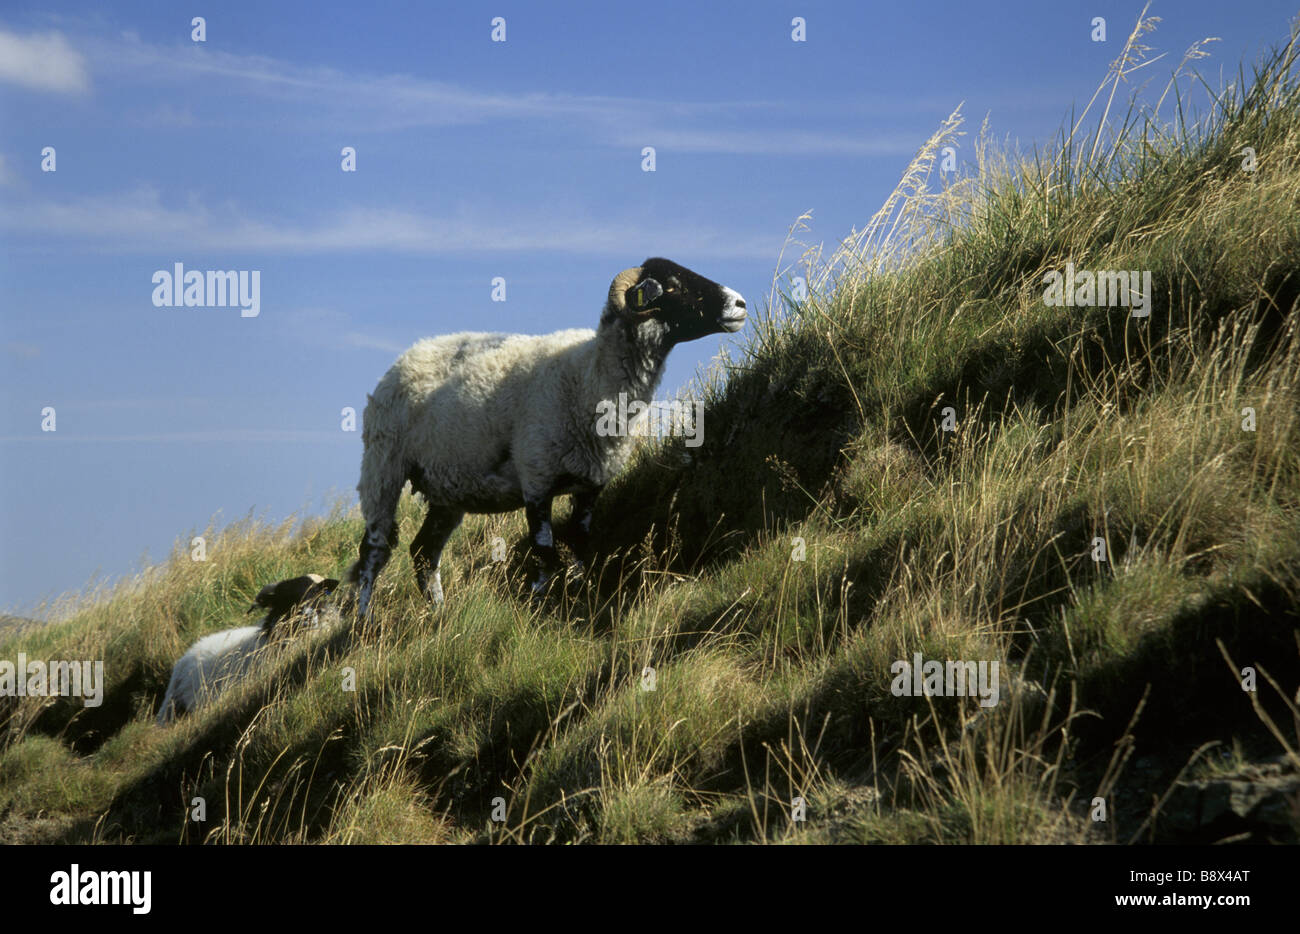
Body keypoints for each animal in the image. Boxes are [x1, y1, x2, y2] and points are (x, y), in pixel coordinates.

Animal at [349, 257, 746, 618]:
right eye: (675, 285)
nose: (740, 304)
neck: (588, 375)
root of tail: (412, 352)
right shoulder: (537, 480)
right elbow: (545, 555)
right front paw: (538, 611)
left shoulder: (591, 484)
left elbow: (581, 549)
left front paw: (577, 603)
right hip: (383, 466)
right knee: (374, 549)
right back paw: (363, 621)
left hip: (449, 487)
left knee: (423, 553)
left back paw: (439, 615)